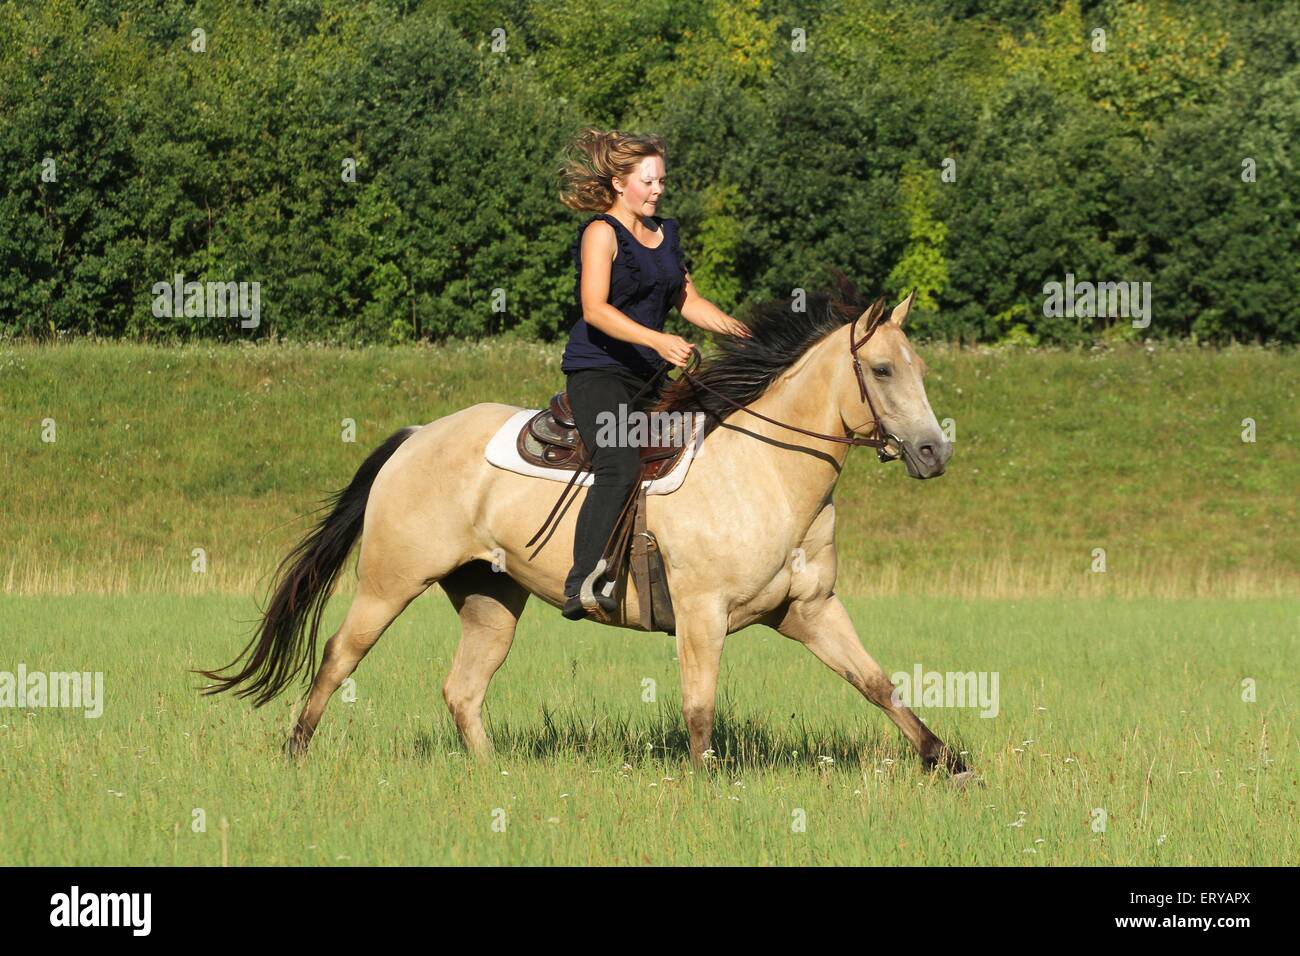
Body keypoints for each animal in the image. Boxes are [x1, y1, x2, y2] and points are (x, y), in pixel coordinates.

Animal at [200, 278, 970, 779]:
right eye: (881, 369)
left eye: (921, 367)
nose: (935, 453)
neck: (766, 472)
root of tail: (418, 436)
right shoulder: (701, 613)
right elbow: (699, 707)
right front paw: (706, 786)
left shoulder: (810, 611)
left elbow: (880, 685)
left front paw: (949, 762)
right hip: (389, 582)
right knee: (339, 657)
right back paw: (296, 754)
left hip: (490, 599)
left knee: (462, 689)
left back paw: (495, 777)